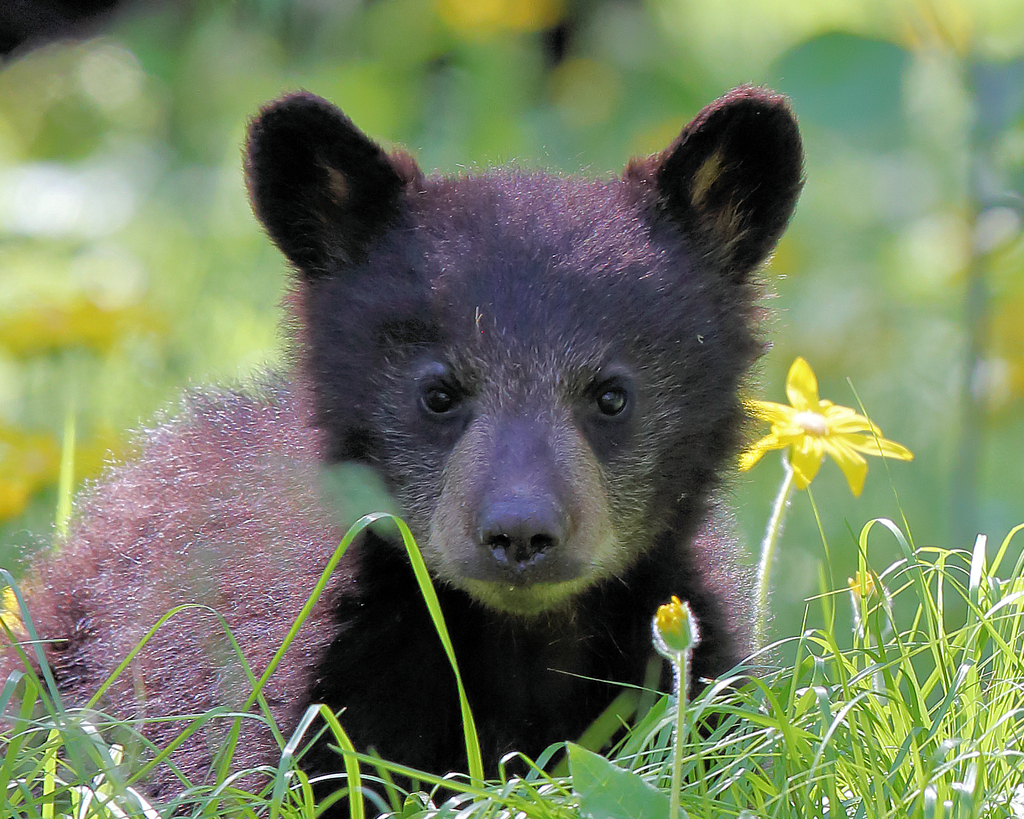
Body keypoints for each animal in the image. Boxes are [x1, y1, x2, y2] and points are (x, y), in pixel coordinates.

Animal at [1, 86, 803, 814]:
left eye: (611, 395)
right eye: (438, 393)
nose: (520, 532)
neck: (522, 642)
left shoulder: (691, 668)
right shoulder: (298, 673)